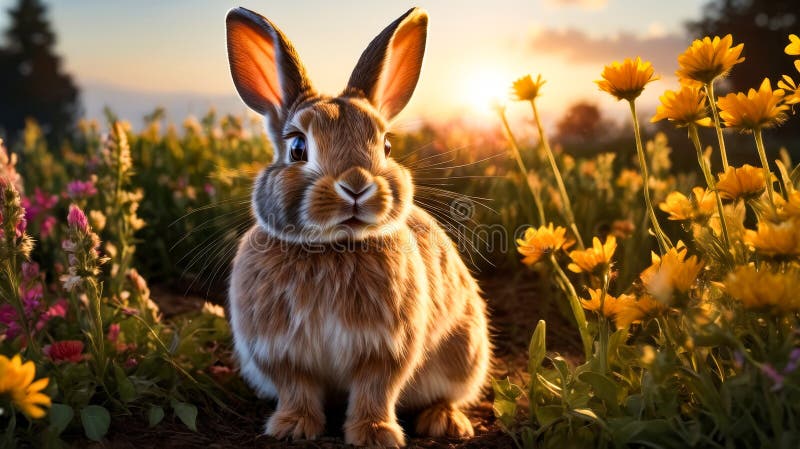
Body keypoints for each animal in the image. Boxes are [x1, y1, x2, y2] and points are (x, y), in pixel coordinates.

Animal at [225, 6, 491, 447]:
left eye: (386, 145)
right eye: (297, 147)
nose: (355, 185)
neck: (334, 246)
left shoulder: (386, 351)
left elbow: (375, 391)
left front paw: (374, 435)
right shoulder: (281, 352)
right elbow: (296, 388)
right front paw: (292, 427)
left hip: (465, 351)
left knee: (449, 393)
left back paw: (446, 421)